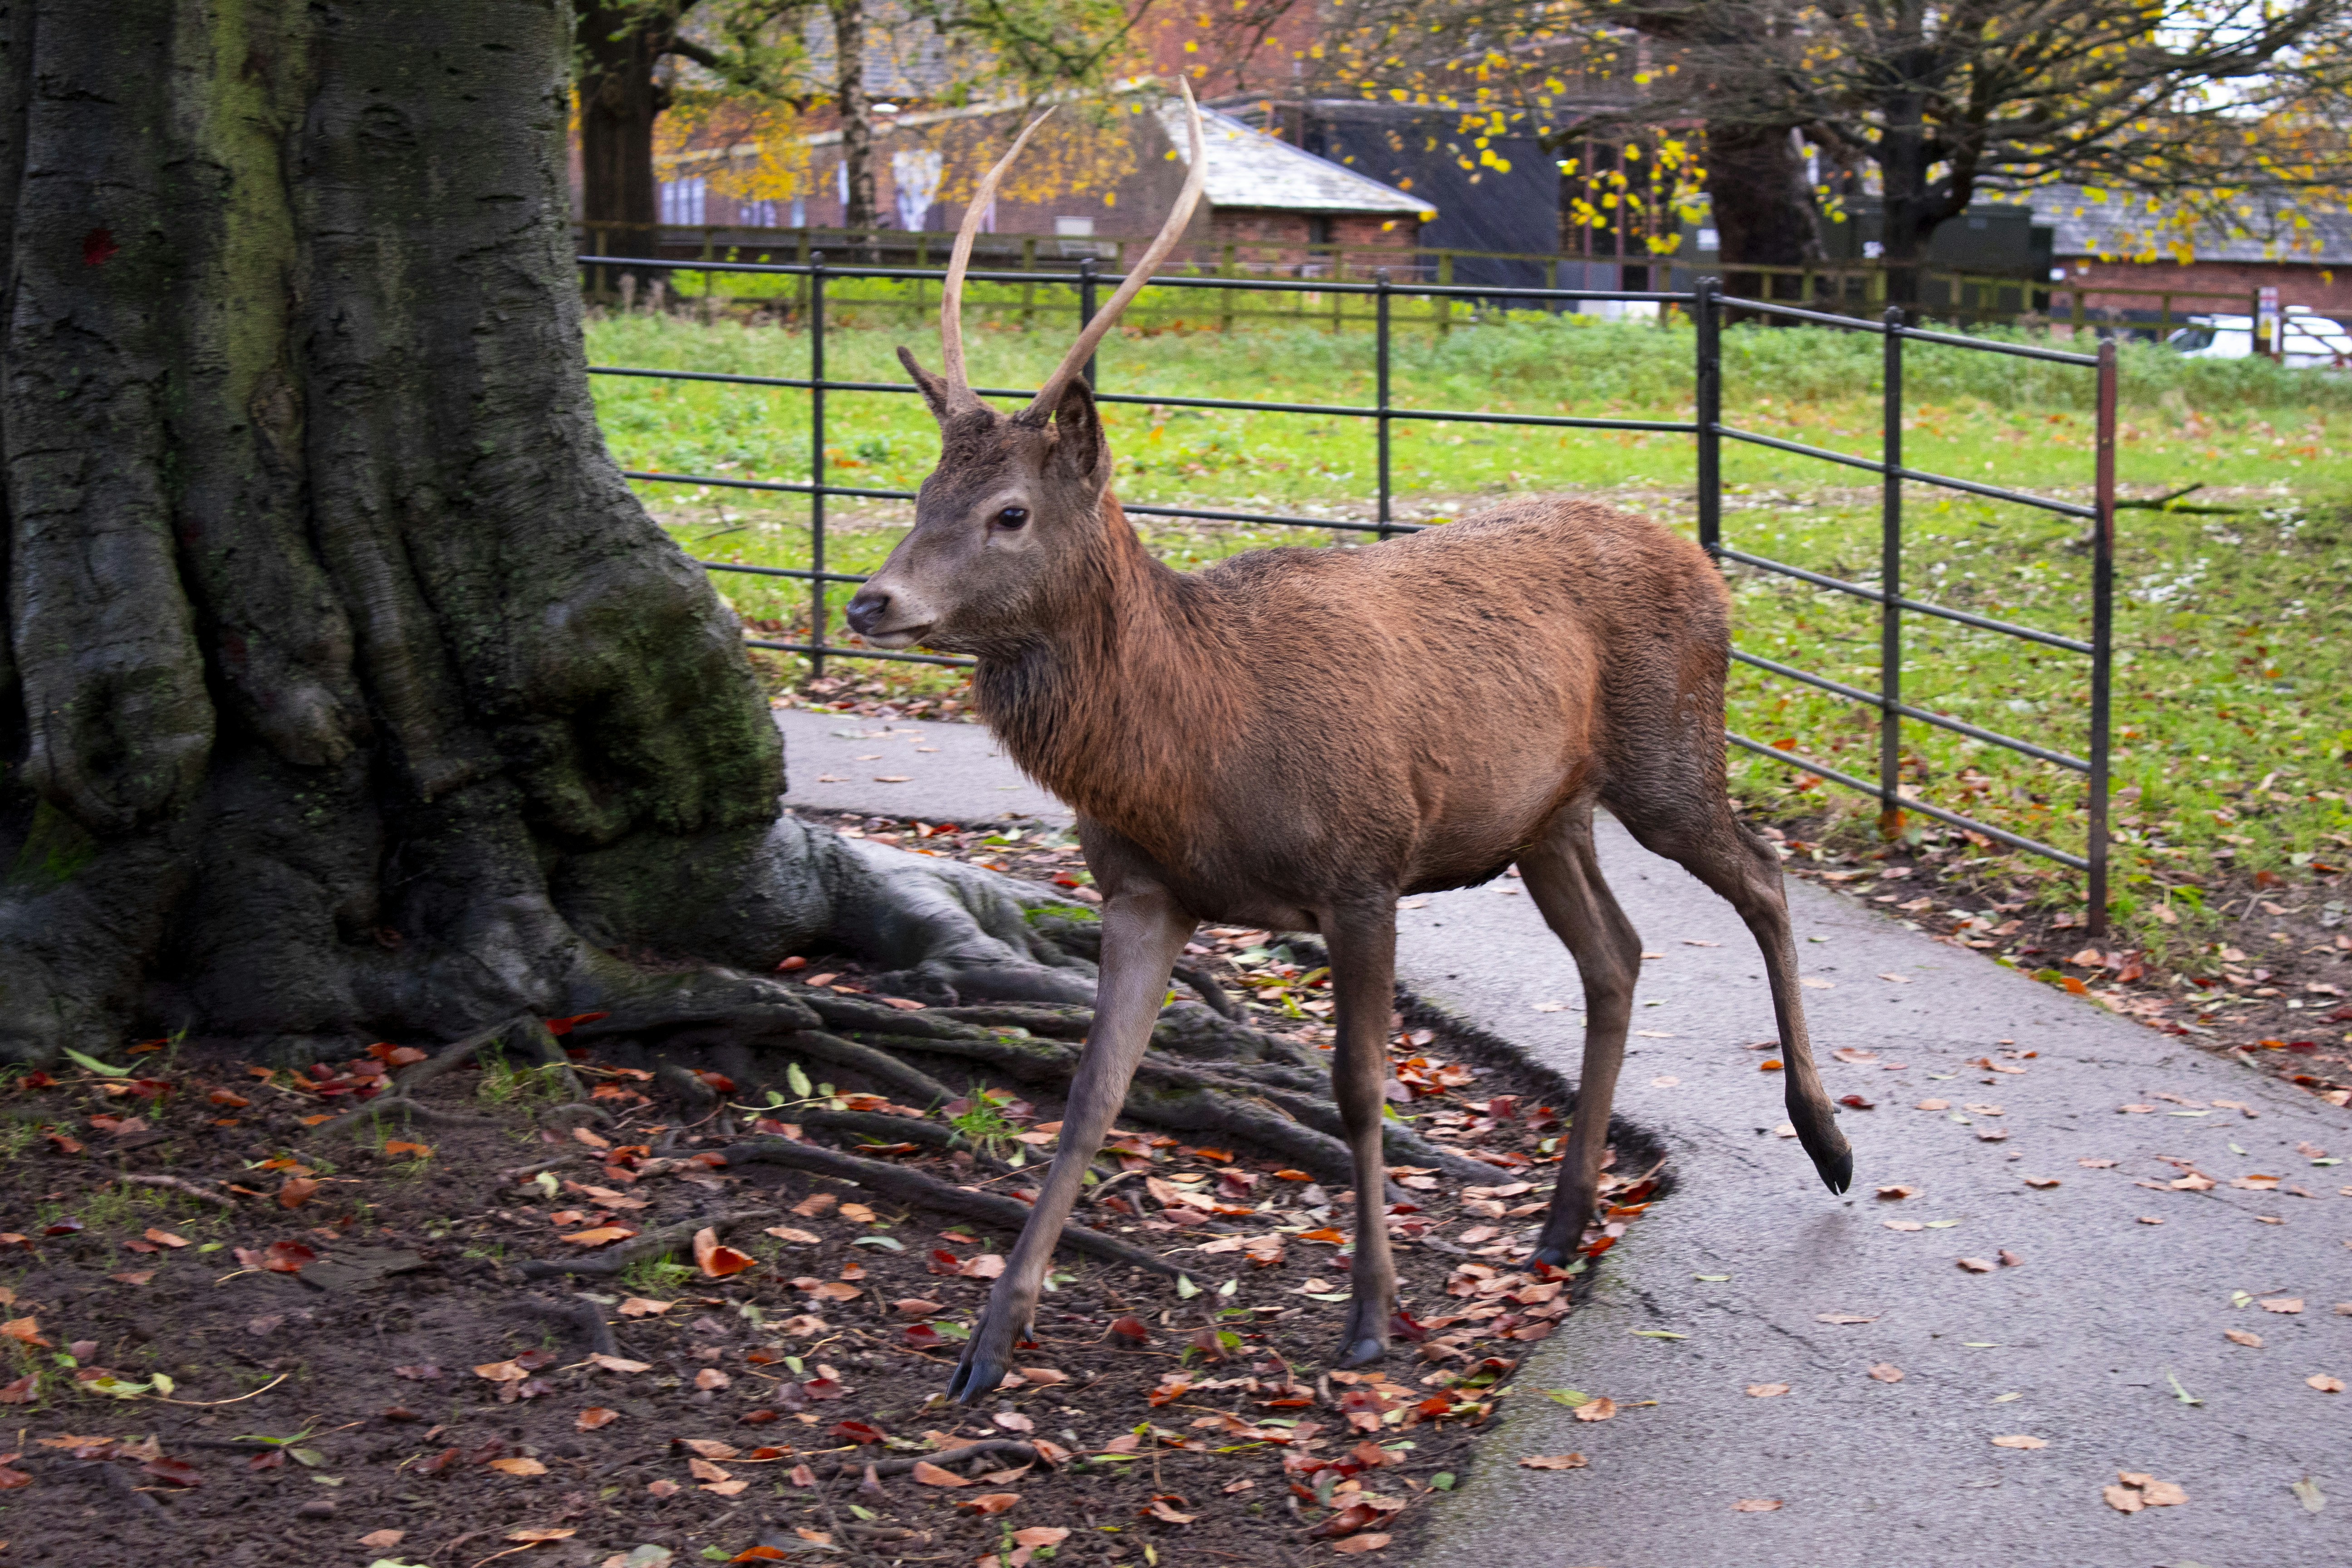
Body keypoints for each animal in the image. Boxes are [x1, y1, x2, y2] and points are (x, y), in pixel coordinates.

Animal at [844, 84, 1853, 1404]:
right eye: (919, 497)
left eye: (1009, 512)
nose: (871, 601)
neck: (1193, 760)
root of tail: (1711, 569)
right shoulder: (1141, 887)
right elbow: (1090, 1095)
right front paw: (987, 1344)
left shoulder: (1364, 865)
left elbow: (1358, 1090)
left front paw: (1371, 1317)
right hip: (1546, 816)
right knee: (1619, 954)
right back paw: (1563, 1215)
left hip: (1669, 752)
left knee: (1766, 879)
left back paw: (1829, 1146)